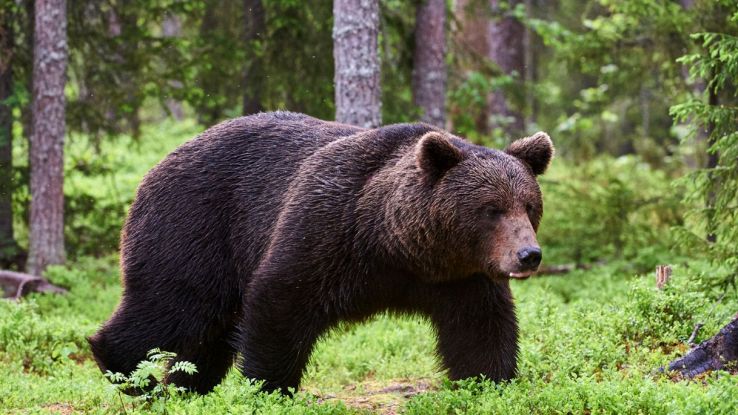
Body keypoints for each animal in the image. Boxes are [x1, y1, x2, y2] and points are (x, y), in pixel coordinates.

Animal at [89, 111, 553, 395]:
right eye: (491, 209)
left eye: (529, 205)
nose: (528, 255)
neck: (396, 245)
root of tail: (156, 166)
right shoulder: (327, 228)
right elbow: (281, 303)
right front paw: (269, 387)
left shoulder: (460, 277)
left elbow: (480, 331)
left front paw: (489, 384)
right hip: (196, 231)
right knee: (173, 306)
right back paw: (129, 373)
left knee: (206, 335)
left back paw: (189, 386)